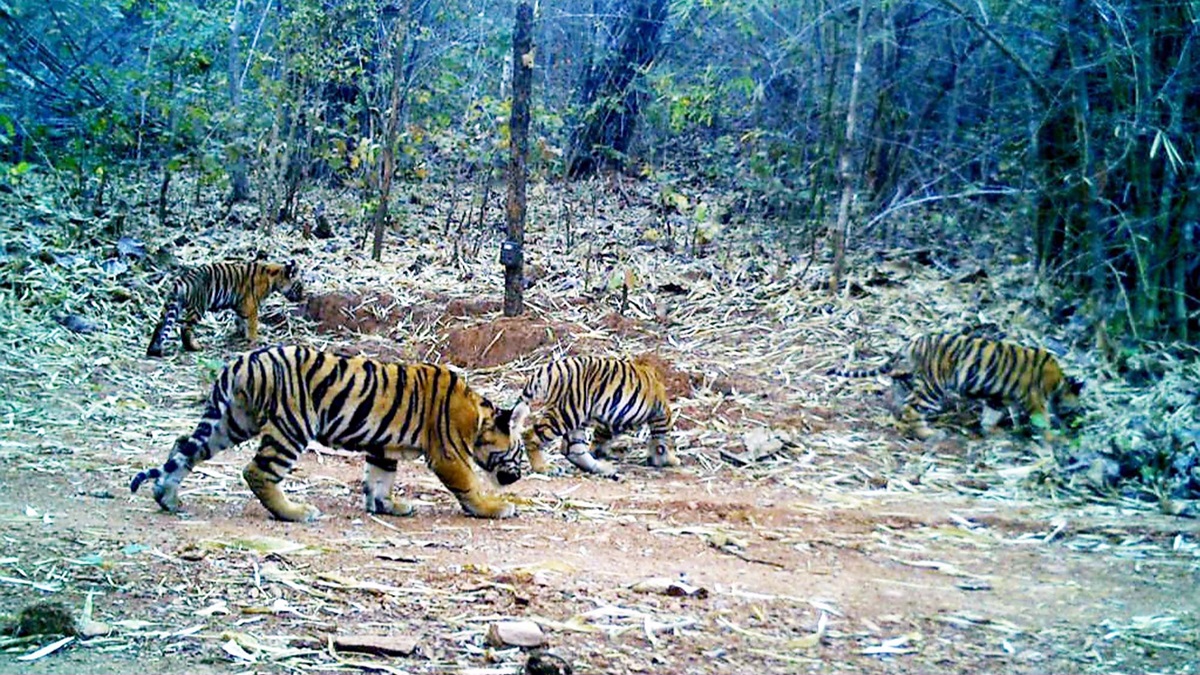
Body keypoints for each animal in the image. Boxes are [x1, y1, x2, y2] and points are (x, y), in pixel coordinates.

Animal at [130, 345, 530, 522]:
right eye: (520, 453)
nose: (523, 474)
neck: (476, 416)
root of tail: (241, 361)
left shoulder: (382, 448)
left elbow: (379, 480)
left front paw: (388, 506)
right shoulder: (448, 454)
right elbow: (468, 484)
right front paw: (494, 507)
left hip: (230, 422)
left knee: (184, 448)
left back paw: (167, 497)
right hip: (291, 426)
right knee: (257, 471)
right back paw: (294, 512)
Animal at [145, 261, 304, 357]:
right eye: (299, 286)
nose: (303, 297)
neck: (273, 277)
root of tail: (181, 280)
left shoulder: (241, 305)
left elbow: (240, 320)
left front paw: (240, 334)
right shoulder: (252, 305)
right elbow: (252, 324)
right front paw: (254, 339)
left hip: (172, 306)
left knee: (160, 327)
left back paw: (155, 350)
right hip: (198, 307)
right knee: (185, 327)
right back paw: (194, 347)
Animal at [518, 355, 679, 478]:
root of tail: (547, 369)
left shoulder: (611, 419)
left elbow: (600, 437)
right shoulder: (660, 413)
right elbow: (663, 439)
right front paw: (669, 459)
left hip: (576, 417)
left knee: (572, 449)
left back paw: (603, 469)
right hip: (567, 414)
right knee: (530, 436)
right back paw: (543, 468)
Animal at [829, 333, 1084, 441]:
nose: (1076, 424)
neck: (1059, 381)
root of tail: (911, 344)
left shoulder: (998, 397)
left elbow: (994, 415)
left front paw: (996, 430)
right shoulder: (1034, 398)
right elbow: (1042, 419)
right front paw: (1054, 436)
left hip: (905, 380)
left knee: (898, 403)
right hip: (932, 386)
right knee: (913, 408)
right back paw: (929, 434)